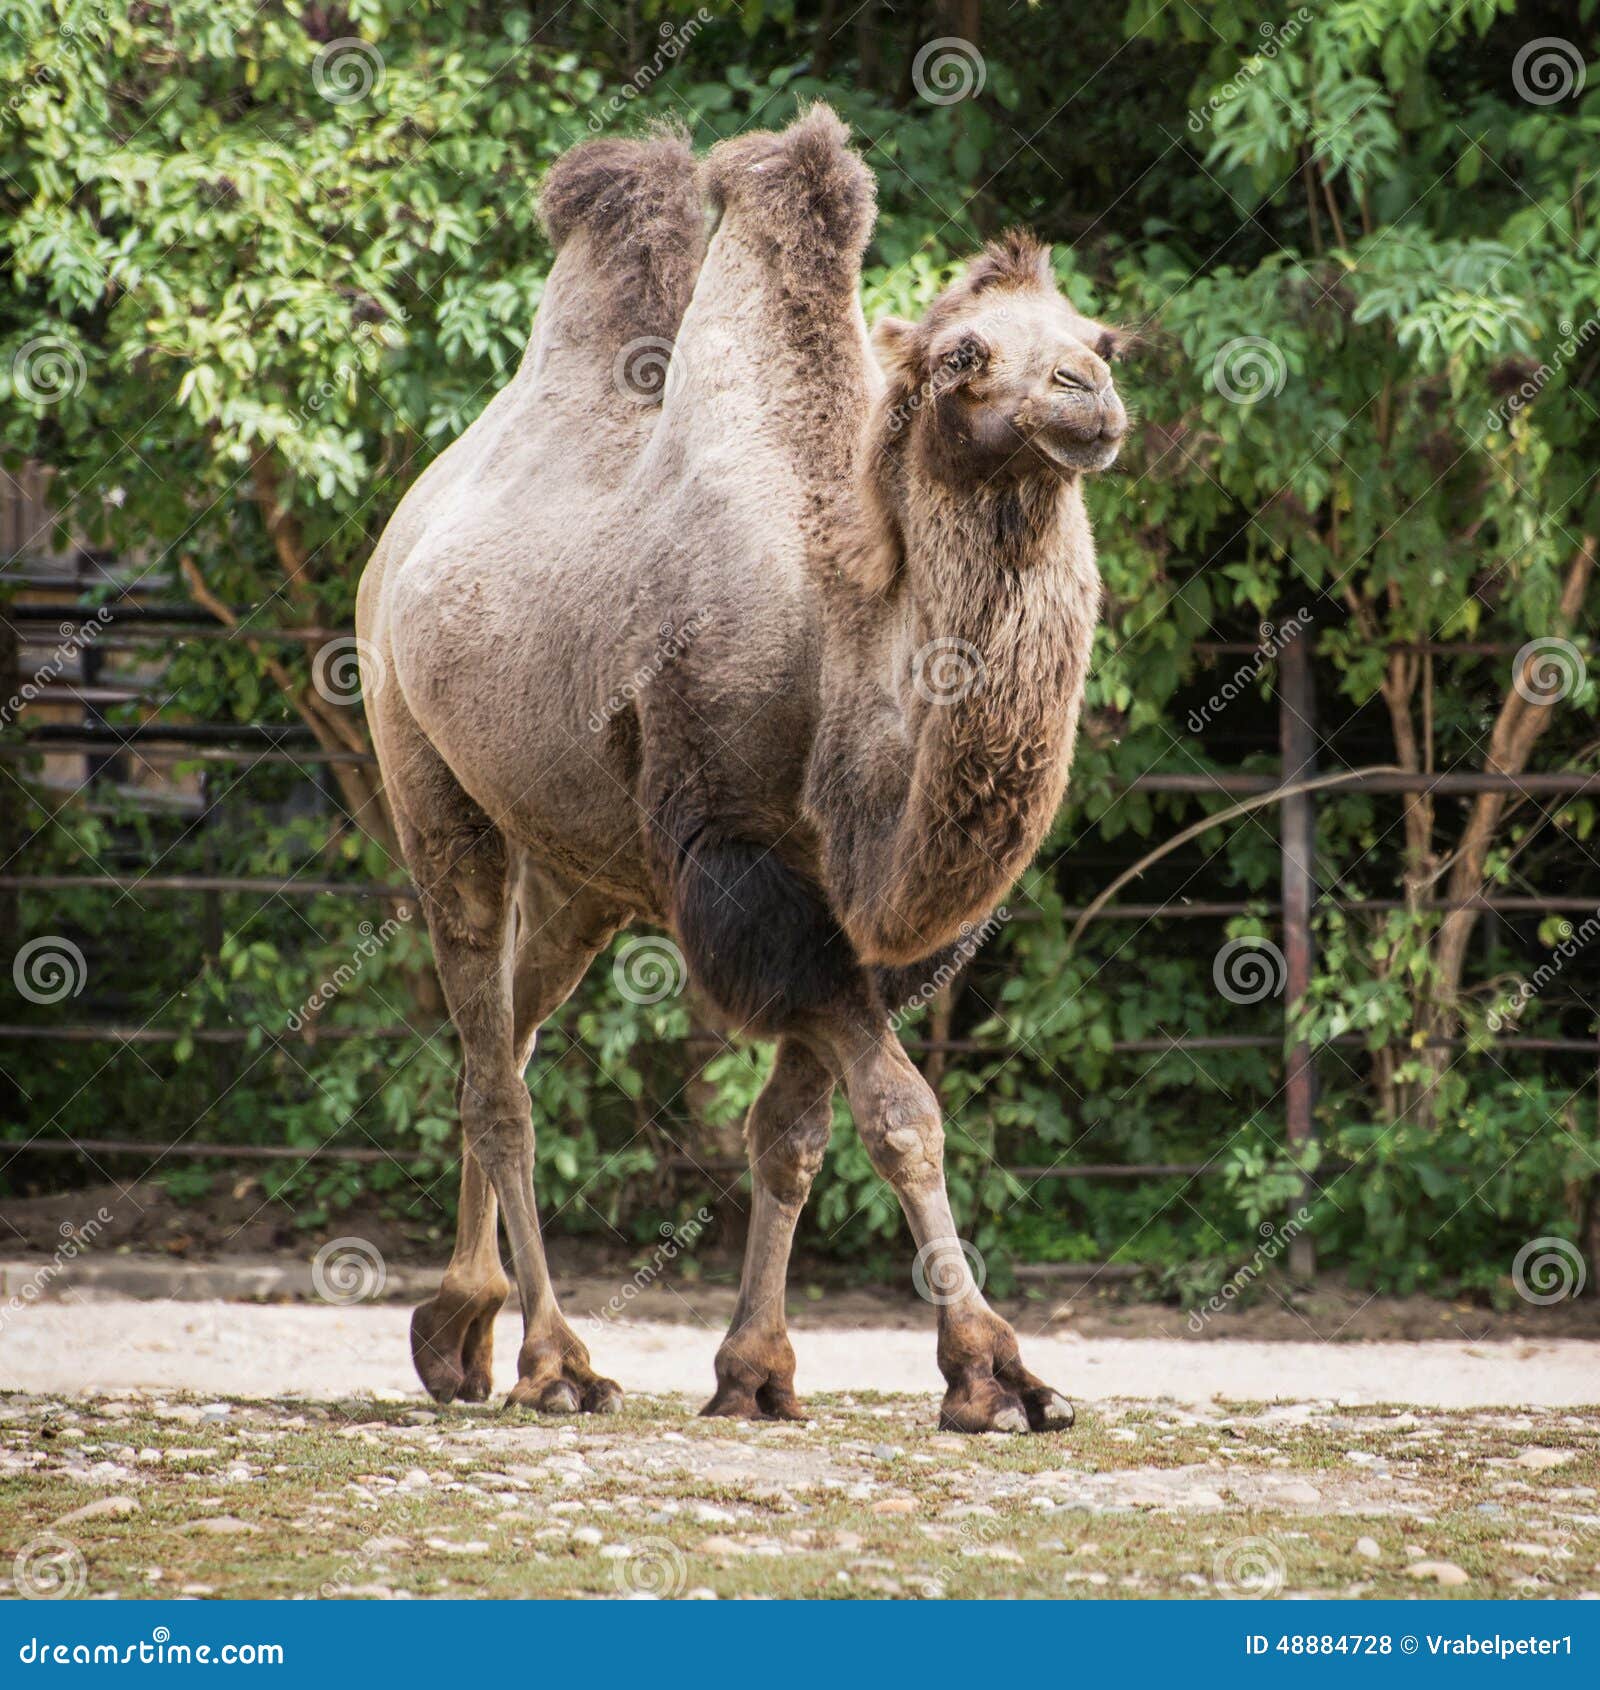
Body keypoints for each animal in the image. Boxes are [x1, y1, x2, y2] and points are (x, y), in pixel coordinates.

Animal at [355, 106, 1128, 1433]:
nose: (1090, 396)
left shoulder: (849, 910)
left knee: (504, 1033)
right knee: (499, 1072)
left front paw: (756, 1368)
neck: (848, 637)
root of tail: (400, 532)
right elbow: (903, 1112)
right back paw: (554, 1360)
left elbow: (792, 1131)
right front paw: (993, 1367)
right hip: (424, 770)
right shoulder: (738, 856)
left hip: (586, 872)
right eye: (966, 352)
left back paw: (457, 1329)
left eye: (1097, 335)